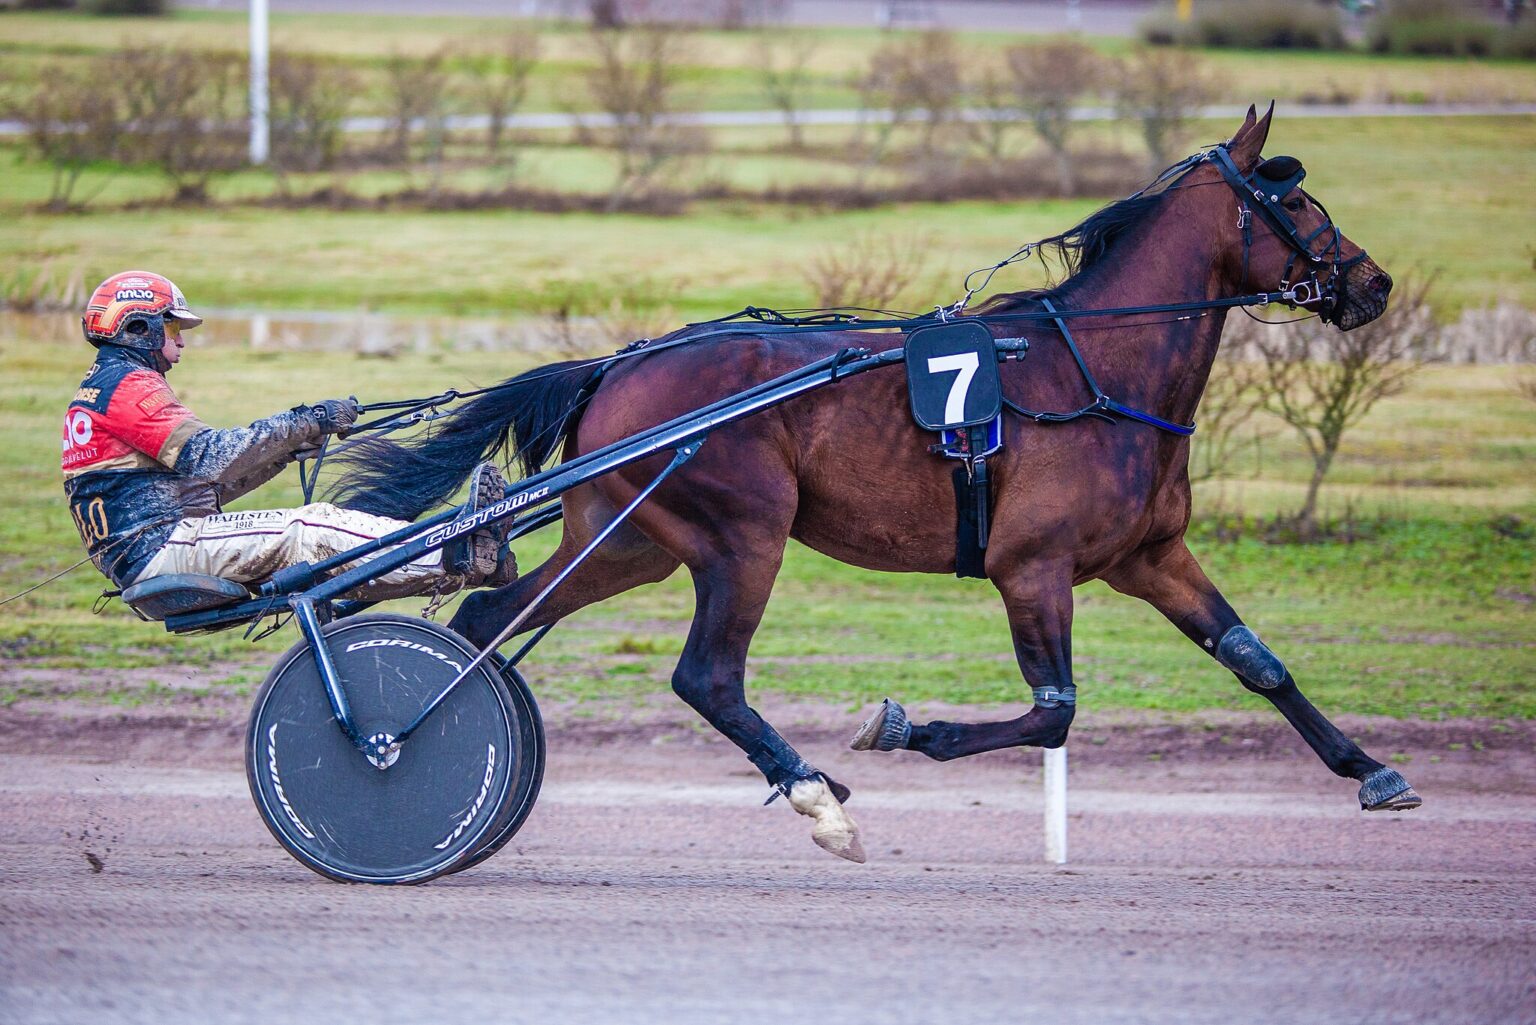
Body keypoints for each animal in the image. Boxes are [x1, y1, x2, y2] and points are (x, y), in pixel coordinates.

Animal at [330, 107, 1414, 863]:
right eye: (1299, 204)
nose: (1375, 283)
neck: (1098, 370)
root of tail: (618, 365)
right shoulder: (1032, 565)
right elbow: (1055, 707)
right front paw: (904, 727)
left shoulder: (1152, 554)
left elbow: (1257, 660)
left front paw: (1372, 770)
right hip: (741, 534)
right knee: (706, 675)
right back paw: (814, 795)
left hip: (631, 537)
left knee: (490, 618)